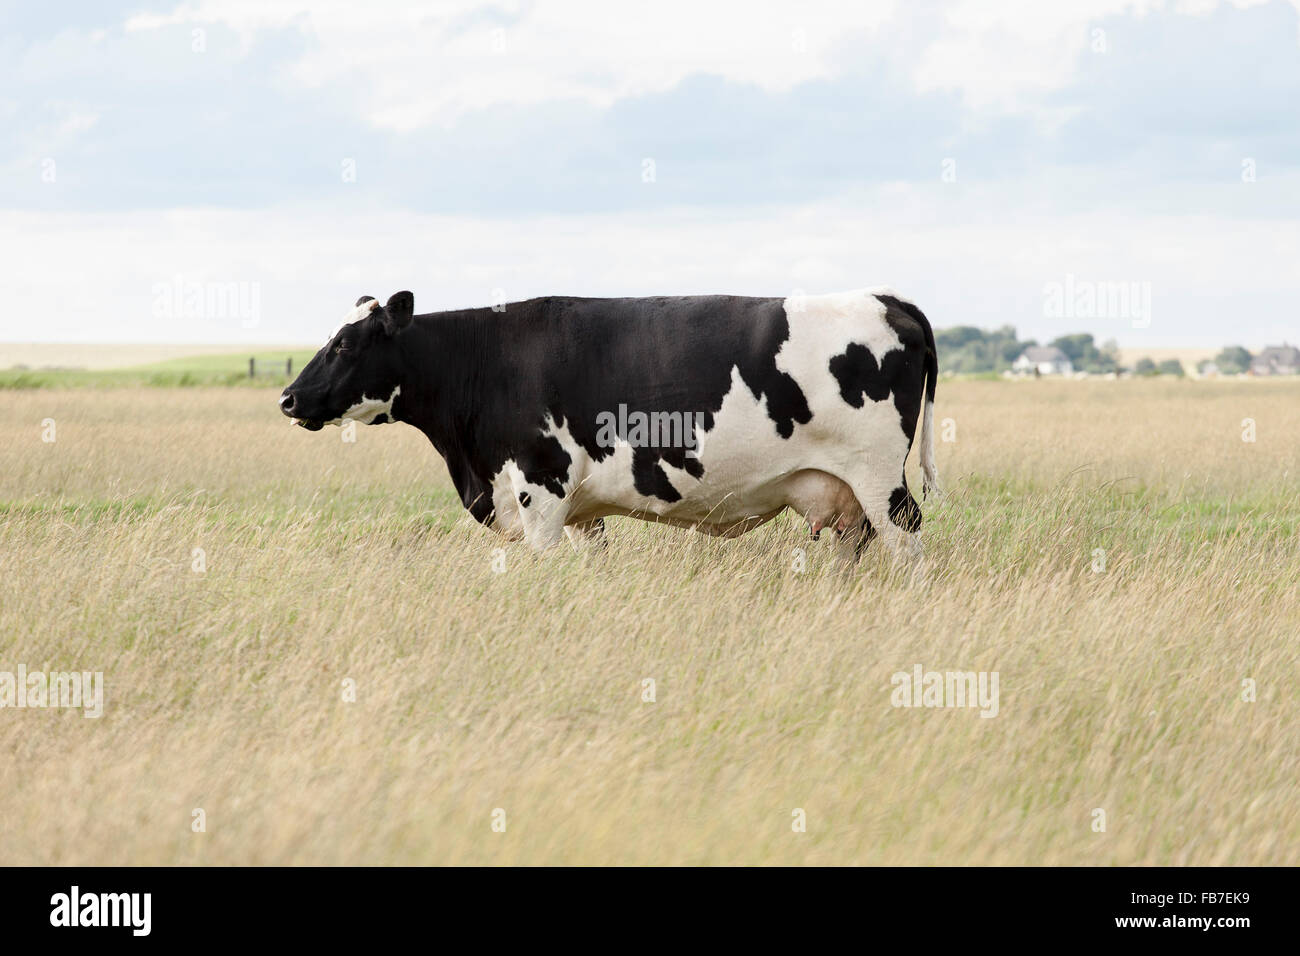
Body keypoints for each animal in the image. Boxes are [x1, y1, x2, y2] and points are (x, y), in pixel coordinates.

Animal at [280, 289, 939, 564]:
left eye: (344, 344)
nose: (288, 398)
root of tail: (886, 298)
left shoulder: (539, 489)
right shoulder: (582, 511)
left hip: (880, 477)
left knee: (908, 542)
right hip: (846, 491)